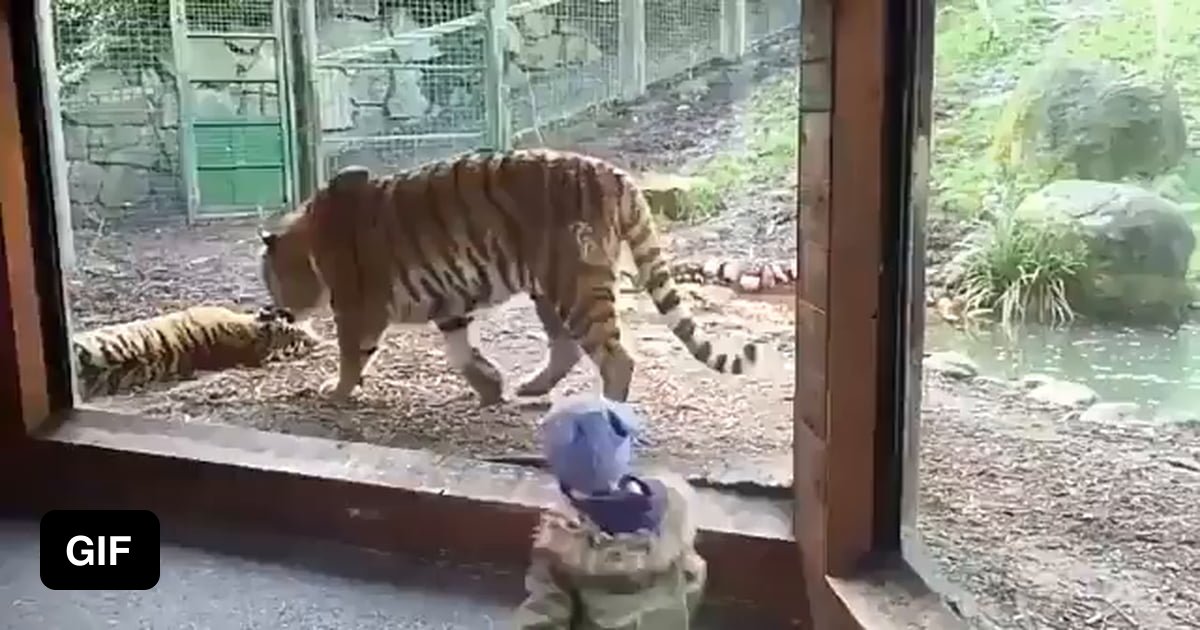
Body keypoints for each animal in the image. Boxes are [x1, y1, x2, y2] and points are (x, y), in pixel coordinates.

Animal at [257, 148, 766, 406]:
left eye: (270, 279)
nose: (273, 311)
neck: (309, 242)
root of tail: (616, 175)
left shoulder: (357, 308)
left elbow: (351, 356)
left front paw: (335, 391)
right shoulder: (449, 302)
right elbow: (460, 350)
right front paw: (490, 388)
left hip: (576, 285)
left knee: (616, 358)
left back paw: (608, 411)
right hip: (551, 288)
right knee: (566, 348)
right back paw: (530, 387)